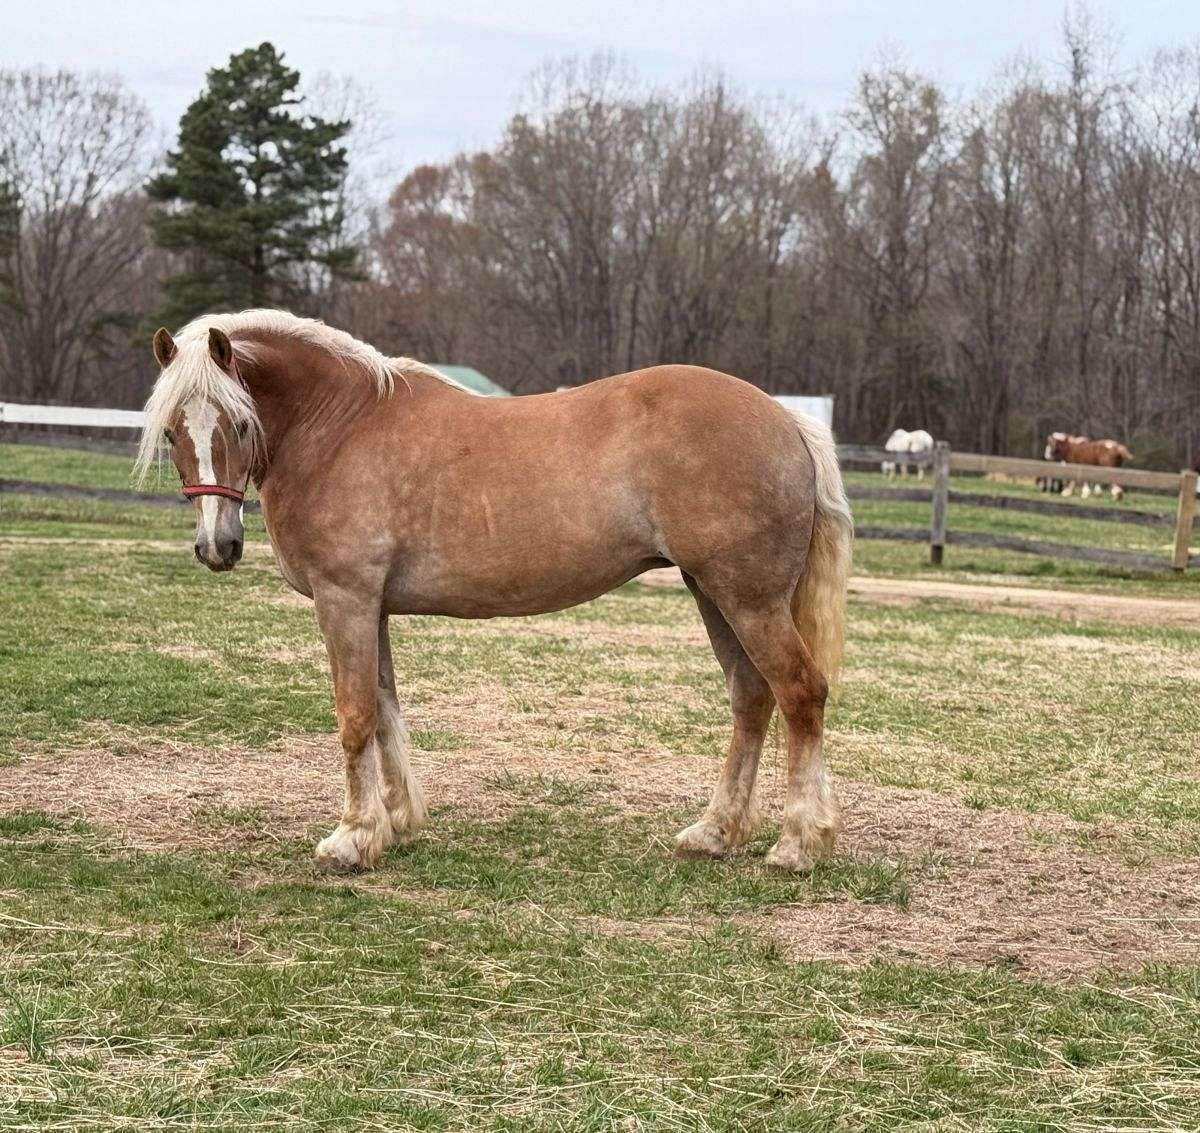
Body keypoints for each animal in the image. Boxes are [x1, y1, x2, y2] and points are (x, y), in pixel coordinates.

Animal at [136, 310, 853, 875]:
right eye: (172, 430)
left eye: (239, 423)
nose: (218, 546)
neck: (339, 424)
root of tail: (786, 418)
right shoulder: (373, 607)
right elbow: (386, 707)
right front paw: (396, 823)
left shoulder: (345, 600)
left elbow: (355, 715)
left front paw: (352, 838)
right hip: (713, 592)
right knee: (751, 699)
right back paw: (715, 833)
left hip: (748, 598)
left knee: (799, 693)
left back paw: (796, 845)